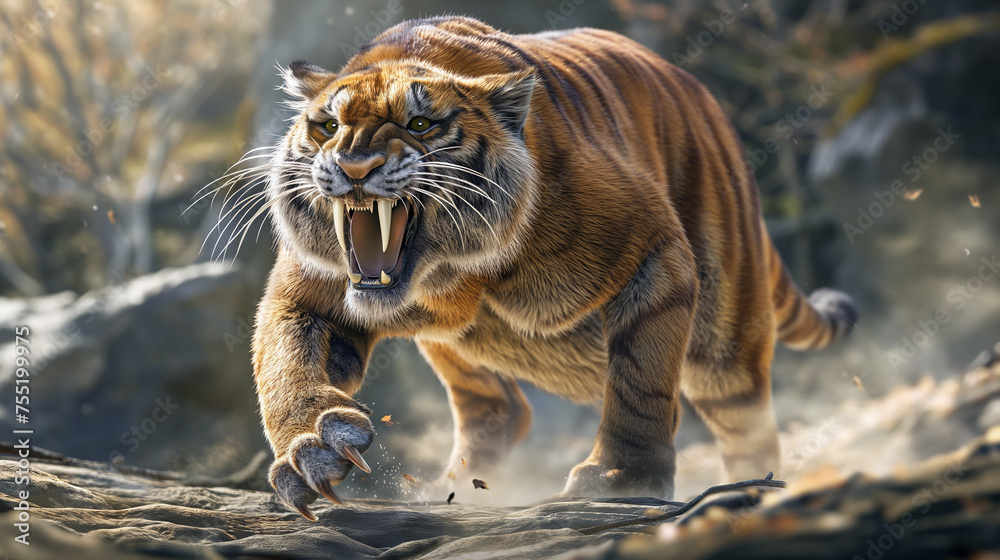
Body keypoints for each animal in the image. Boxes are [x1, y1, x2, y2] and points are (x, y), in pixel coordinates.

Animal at [251, 15, 857, 519]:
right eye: (327, 127)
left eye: (420, 124)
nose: (354, 166)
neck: (457, 273)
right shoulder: (308, 298)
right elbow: (285, 365)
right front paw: (313, 446)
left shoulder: (654, 248)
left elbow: (640, 376)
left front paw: (622, 478)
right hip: (453, 347)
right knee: (500, 408)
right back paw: (450, 488)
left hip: (724, 343)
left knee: (746, 423)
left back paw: (754, 488)